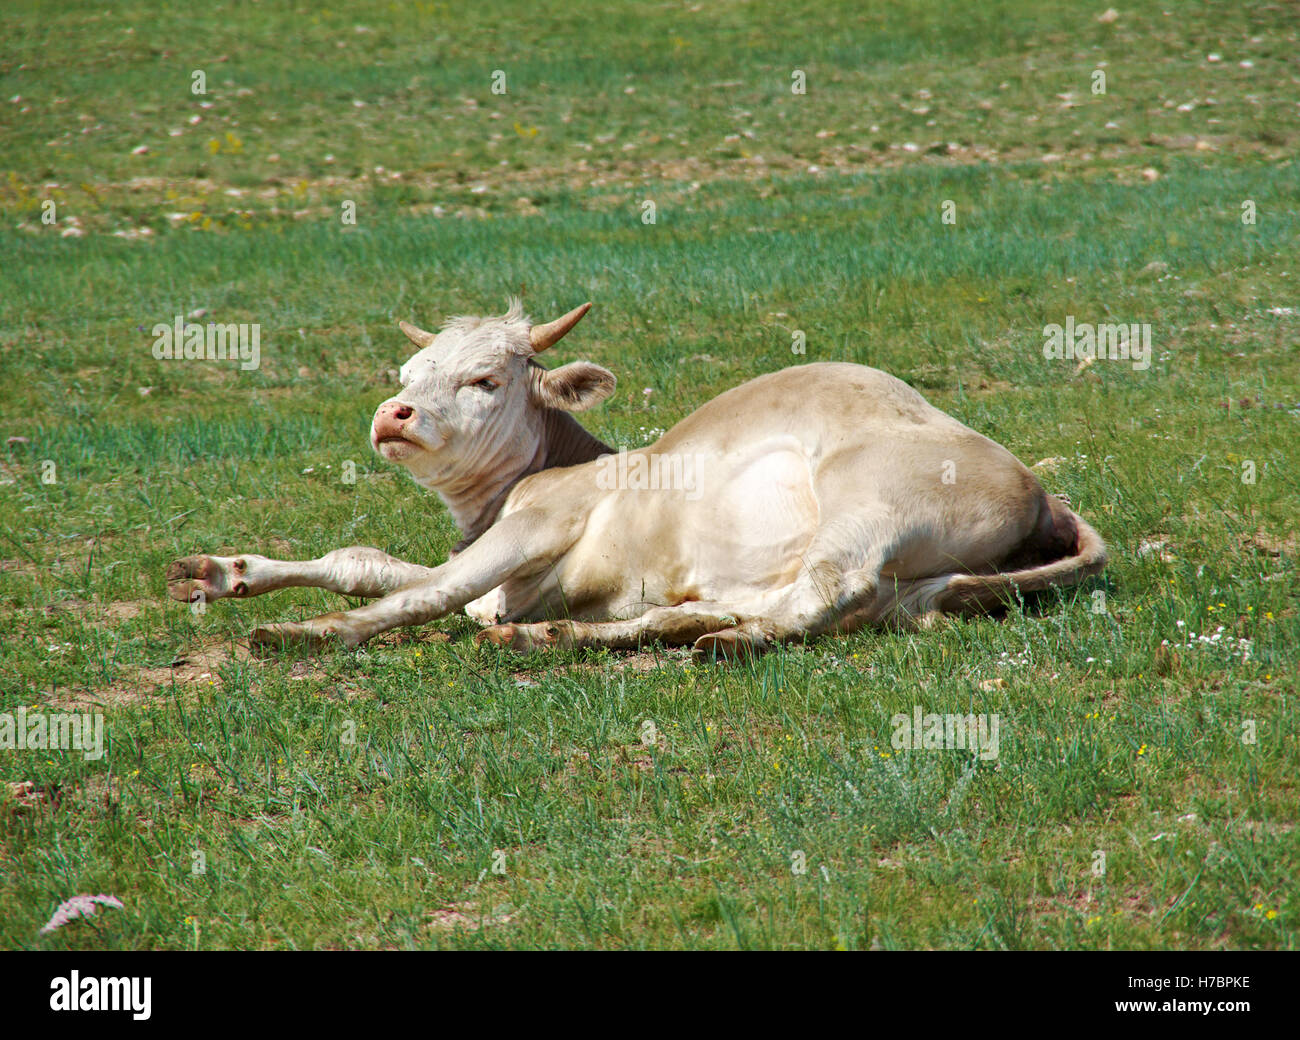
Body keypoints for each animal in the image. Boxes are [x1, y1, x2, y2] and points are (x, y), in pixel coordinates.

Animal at [166, 300, 1107, 660]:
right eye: (409, 370)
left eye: (486, 378)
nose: (392, 415)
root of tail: (1040, 489)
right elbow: (374, 564)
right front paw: (222, 572)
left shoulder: (537, 526)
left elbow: (426, 592)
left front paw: (310, 631)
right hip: (918, 589)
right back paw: (559, 636)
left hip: (867, 503)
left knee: (822, 595)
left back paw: (724, 644)